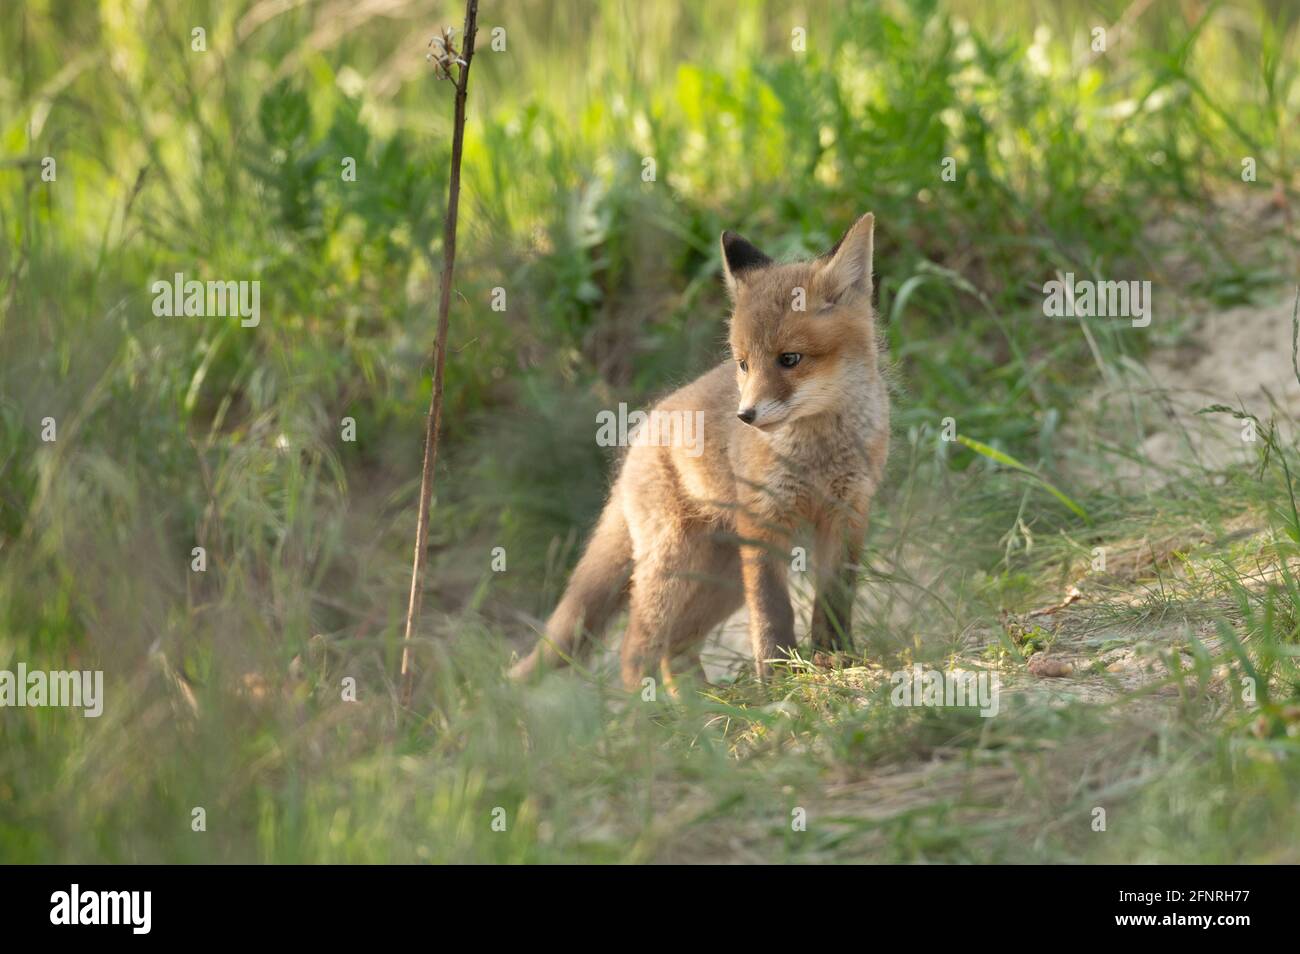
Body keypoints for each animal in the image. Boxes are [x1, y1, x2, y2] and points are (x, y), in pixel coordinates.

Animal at [510, 212, 890, 691]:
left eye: (790, 359)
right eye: (743, 364)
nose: (745, 415)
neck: (817, 452)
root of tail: (642, 432)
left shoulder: (848, 513)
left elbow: (836, 599)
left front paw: (836, 658)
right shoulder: (763, 521)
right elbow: (772, 609)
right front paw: (779, 675)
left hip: (720, 578)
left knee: (676, 646)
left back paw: (701, 703)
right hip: (675, 563)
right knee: (636, 646)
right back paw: (650, 708)